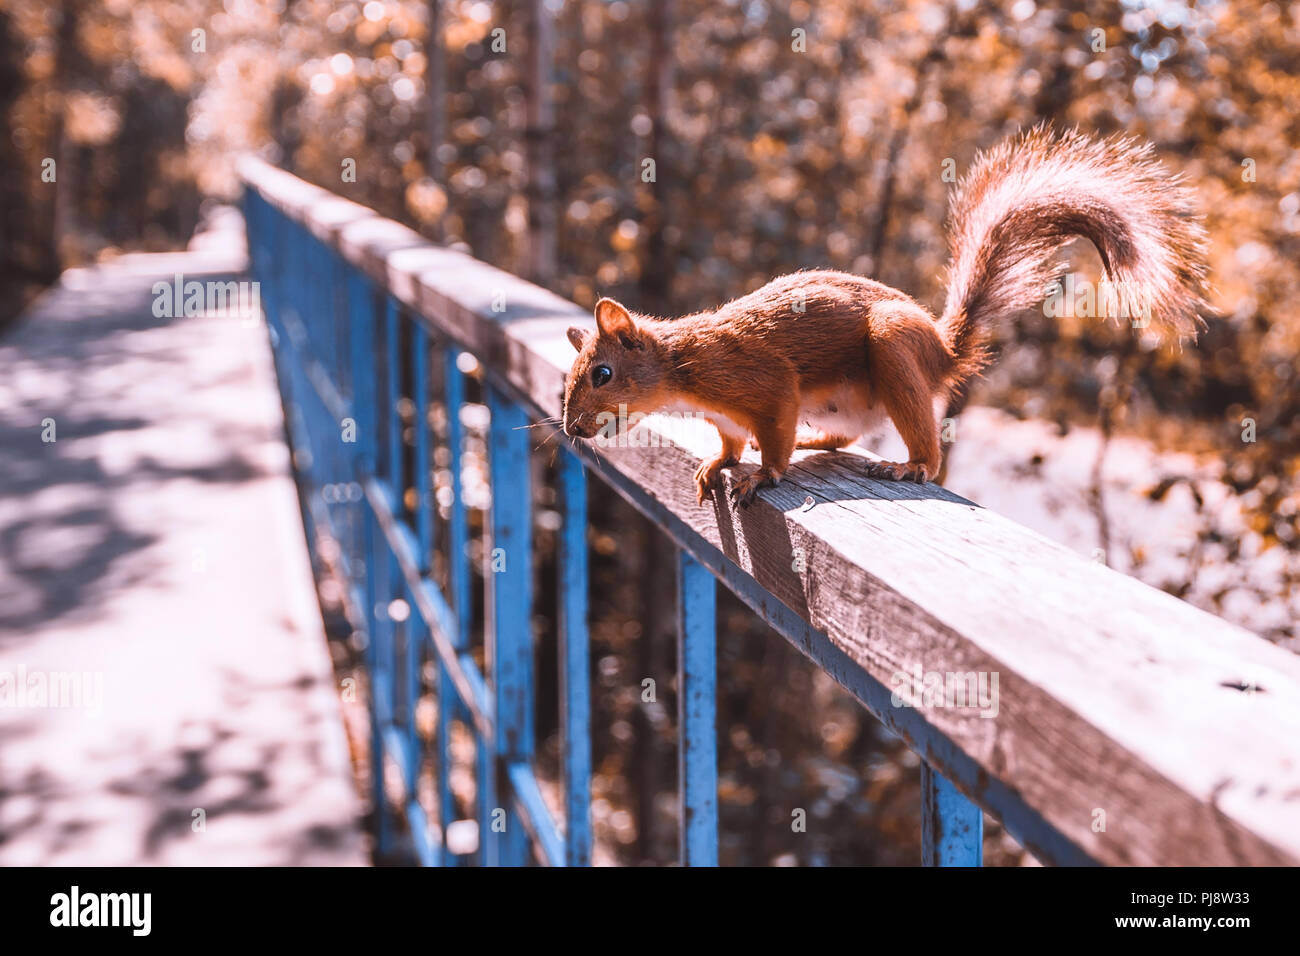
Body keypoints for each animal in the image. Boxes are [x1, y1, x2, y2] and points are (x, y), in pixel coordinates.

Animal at [561, 126, 1210, 507]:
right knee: (847, 432)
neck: (682, 368)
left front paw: (761, 474)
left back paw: (909, 466)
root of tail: (944, 351)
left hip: (893, 346)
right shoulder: (729, 416)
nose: (571, 430)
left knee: (924, 446)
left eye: (602, 375)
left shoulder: (763, 383)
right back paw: (818, 440)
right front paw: (718, 465)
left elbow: (771, 438)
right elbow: (730, 440)